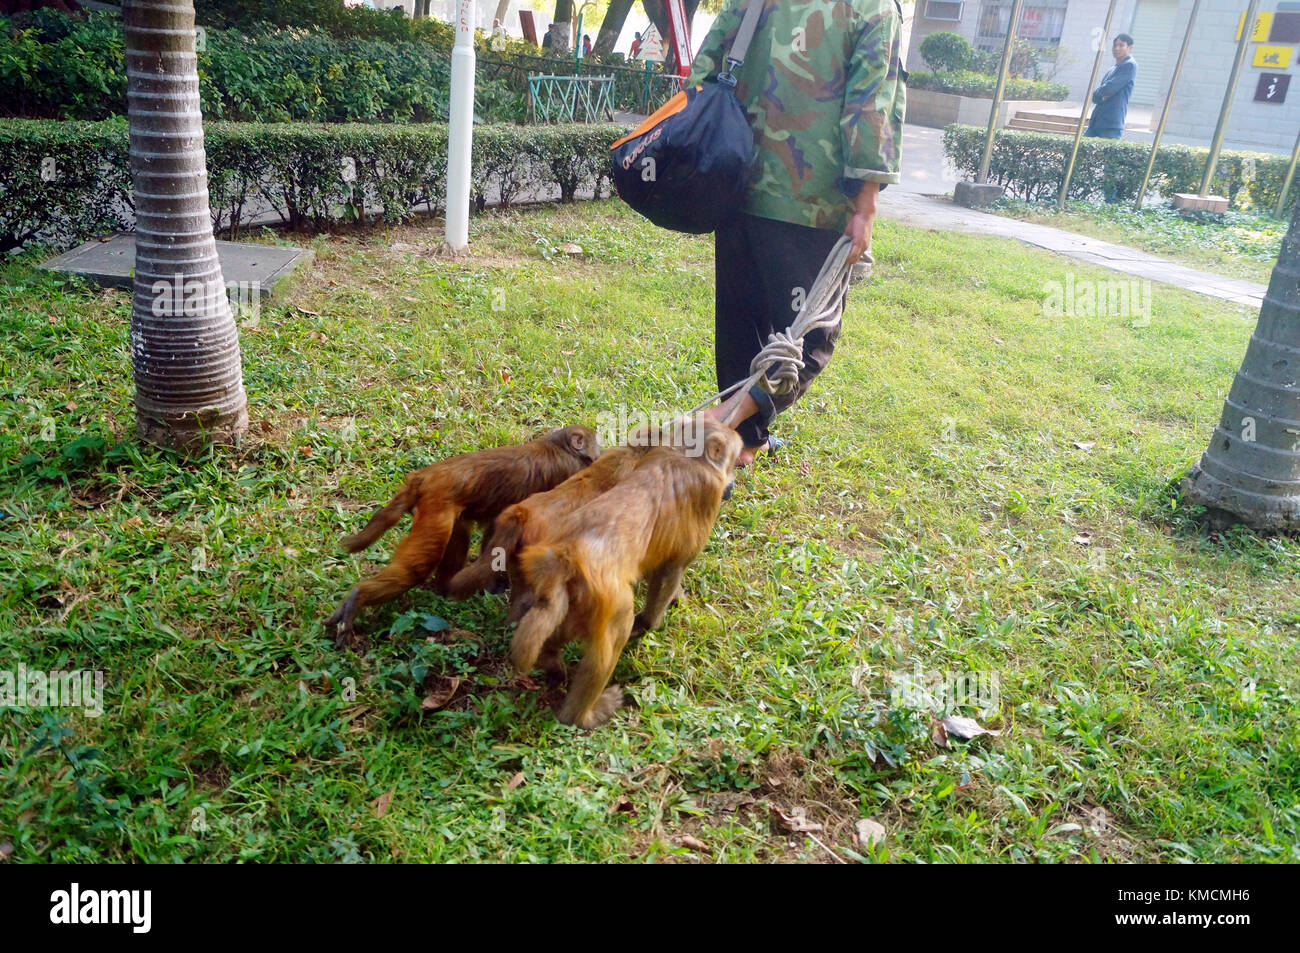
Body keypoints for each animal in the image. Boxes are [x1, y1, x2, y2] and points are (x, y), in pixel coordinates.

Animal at [324, 425, 599, 647]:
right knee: (417, 567)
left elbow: (497, 527)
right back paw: (359, 597)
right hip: (437, 505)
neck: (558, 447)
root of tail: (424, 476)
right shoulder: (570, 472)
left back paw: (443, 587)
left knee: (459, 530)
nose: (600, 451)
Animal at [508, 417, 742, 729]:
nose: (742, 437)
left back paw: (551, 662)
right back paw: (583, 714)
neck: (684, 455)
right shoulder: (706, 497)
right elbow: (671, 569)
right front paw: (651, 620)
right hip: (606, 599)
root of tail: (566, 560)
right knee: (613, 636)